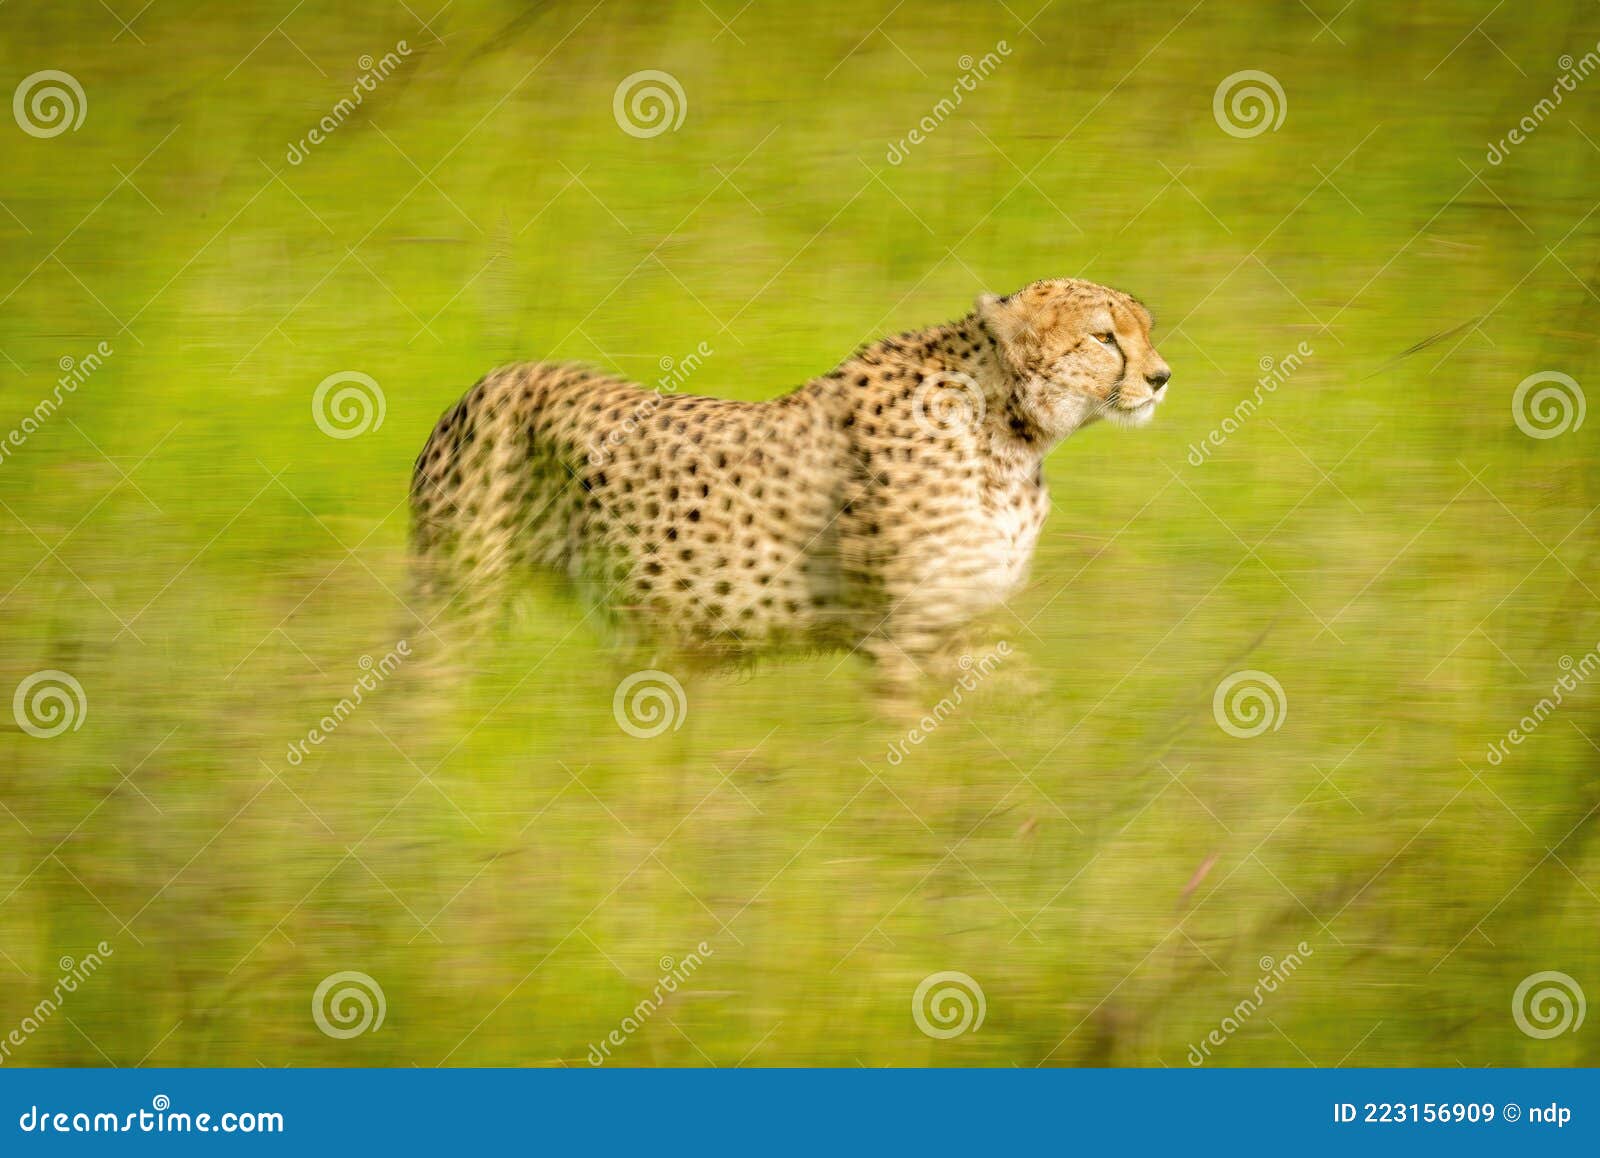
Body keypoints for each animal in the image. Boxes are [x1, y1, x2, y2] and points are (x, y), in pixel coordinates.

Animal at [409, 277, 1171, 700]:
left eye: (1144, 331)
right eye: (1104, 337)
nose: (1161, 376)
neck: (1009, 431)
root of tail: (491, 378)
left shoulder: (965, 628)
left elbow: (1028, 710)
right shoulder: (903, 636)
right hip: (460, 600)